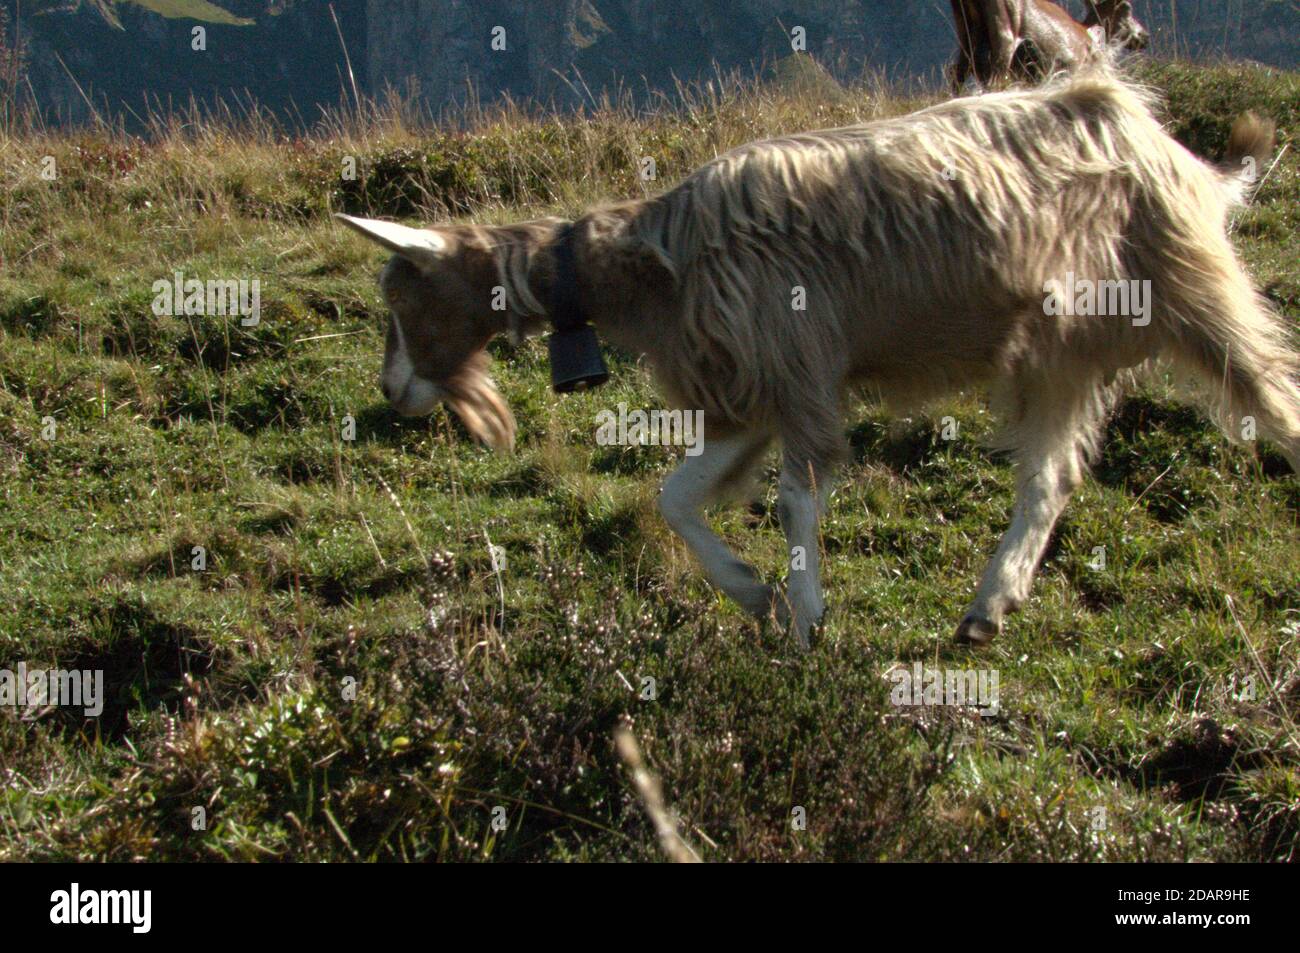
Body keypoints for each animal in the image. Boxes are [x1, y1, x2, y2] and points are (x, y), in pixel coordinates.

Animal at [338, 71, 1295, 649]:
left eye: (400, 295)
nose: (390, 390)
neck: (658, 264)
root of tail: (1151, 130)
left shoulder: (796, 377)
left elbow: (796, 500)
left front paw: (805, 617)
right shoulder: (744, 396)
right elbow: (675, 496)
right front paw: (752, 591)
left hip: (1193, 289)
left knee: (1275, 393)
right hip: (1059, 345)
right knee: (1050, 476)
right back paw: (988, 606)